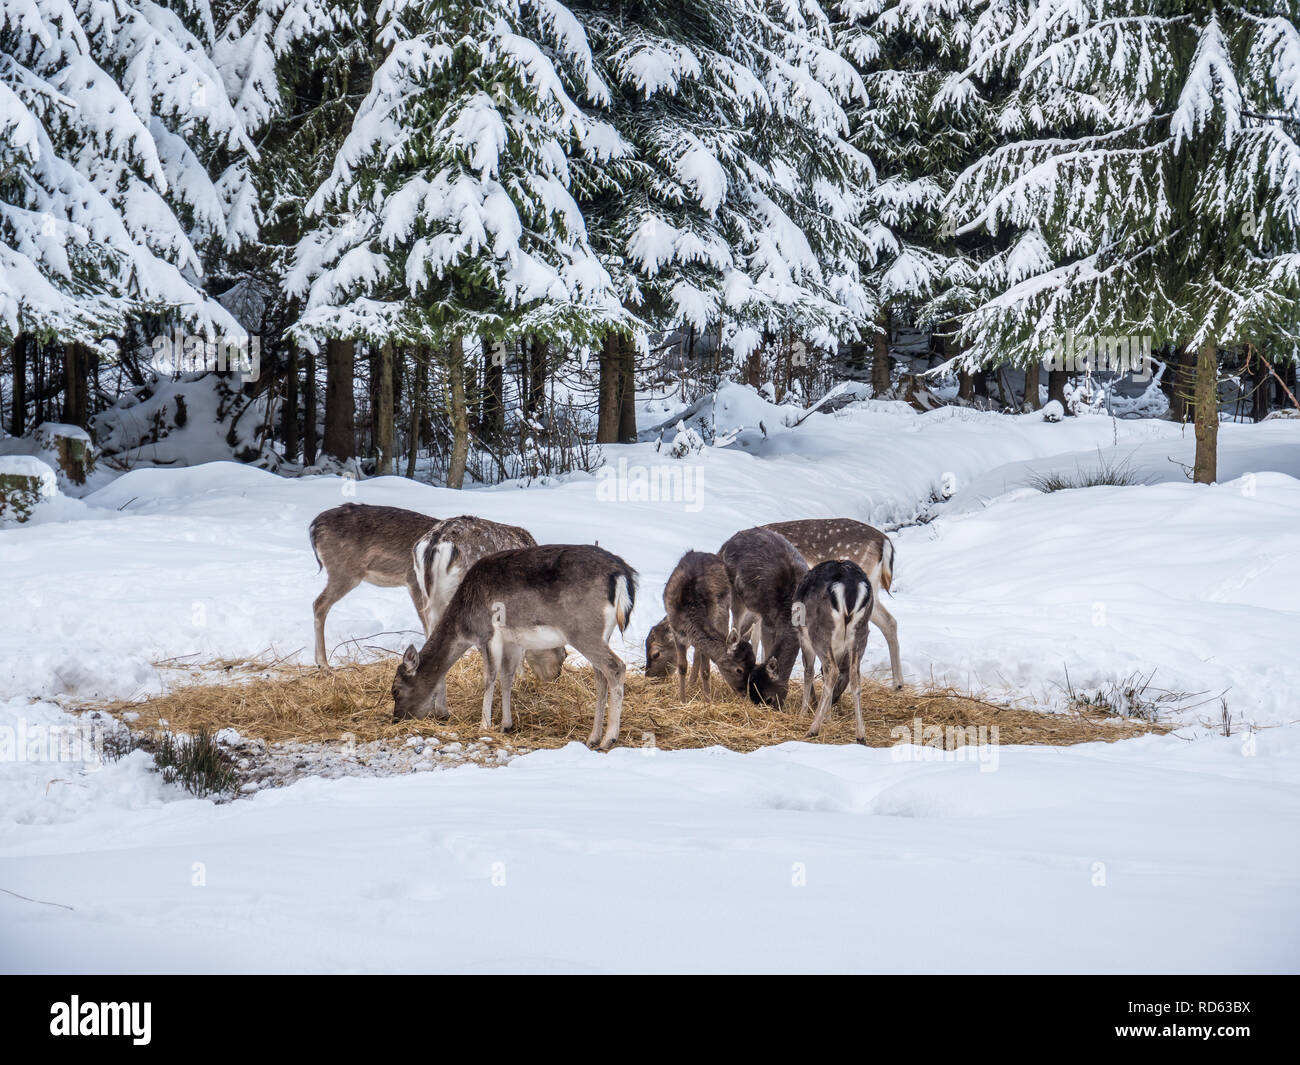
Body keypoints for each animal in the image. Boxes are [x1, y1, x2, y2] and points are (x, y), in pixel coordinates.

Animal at [309, 503, 442, 668]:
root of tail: (315, 527)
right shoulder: (414, 581)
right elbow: (427, 623)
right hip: (344, 573)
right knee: (319, 604)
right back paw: (324, 664)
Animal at [392, 544, 637, 750]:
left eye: (395, 690)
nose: (396, 719)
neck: (464, 624)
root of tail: (623, 575)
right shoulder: (512, 642)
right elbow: (506, 678)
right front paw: (506, 725)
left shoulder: (488, 633)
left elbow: (489, 678)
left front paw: (484, 725)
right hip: (602, 633)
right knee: (601, 677)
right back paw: (593, 737)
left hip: (583, 630)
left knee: (616, 667)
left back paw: (609, 738)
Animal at [649, 551, 756, 701]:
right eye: (739, 670)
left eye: (753, 666)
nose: (744, 694)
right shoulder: (676, 633)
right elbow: (682, 667)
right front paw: (682, 700)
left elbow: (705, 670)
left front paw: (707, 701)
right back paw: (691, 684)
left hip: (724, 609)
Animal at [717, 527, 809, 708]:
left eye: (768, 698)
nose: (771, 708)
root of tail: (725, 544)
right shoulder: (769, 621)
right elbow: (767, 649)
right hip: (736, 595)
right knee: (735, 626)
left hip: (754, 610)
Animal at [792, 560, 874, 743]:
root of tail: (850, 586)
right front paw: (828, 718)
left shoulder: (803, 638)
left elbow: (809, 672)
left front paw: (802, 714)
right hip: (861, 633)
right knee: (854, 675)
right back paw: (861, 735)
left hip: (818, 631)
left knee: (832, 670)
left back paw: (813, 729)